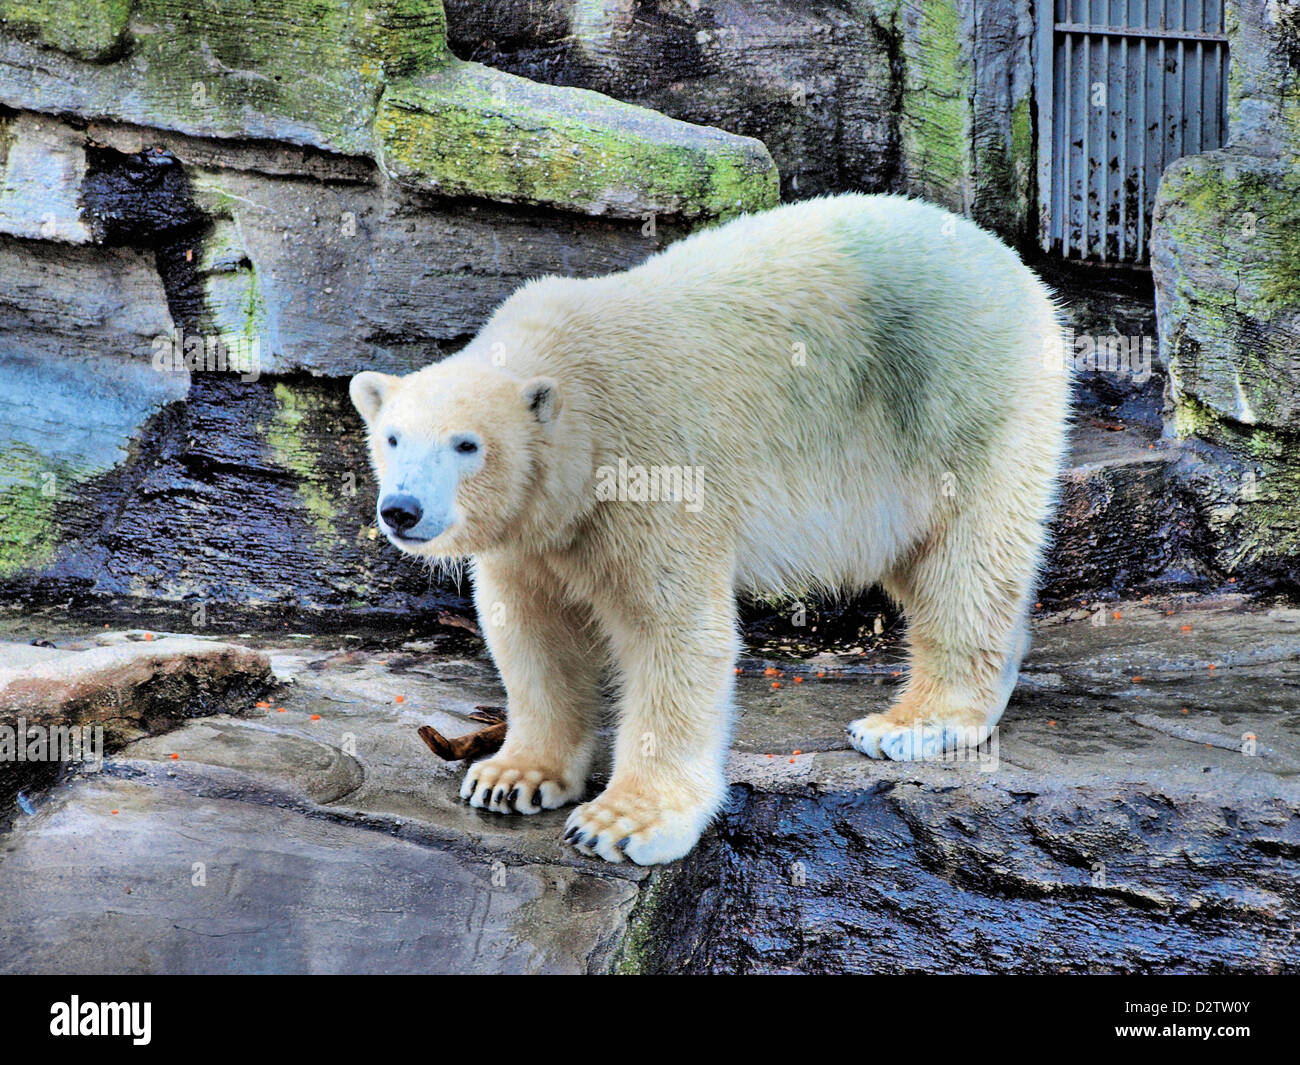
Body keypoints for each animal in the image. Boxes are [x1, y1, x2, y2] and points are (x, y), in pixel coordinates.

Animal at [350, 193, 1071, 866]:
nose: (402, 509)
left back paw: (912, 723)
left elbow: (672, 634)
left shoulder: (647, 472)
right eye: (392, 436)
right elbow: (531, 629)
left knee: (966, 558)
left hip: (958, 400)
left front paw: (623, 823)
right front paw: (511, 777)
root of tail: (1015, 268)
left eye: (466, 445)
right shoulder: (533, 535)